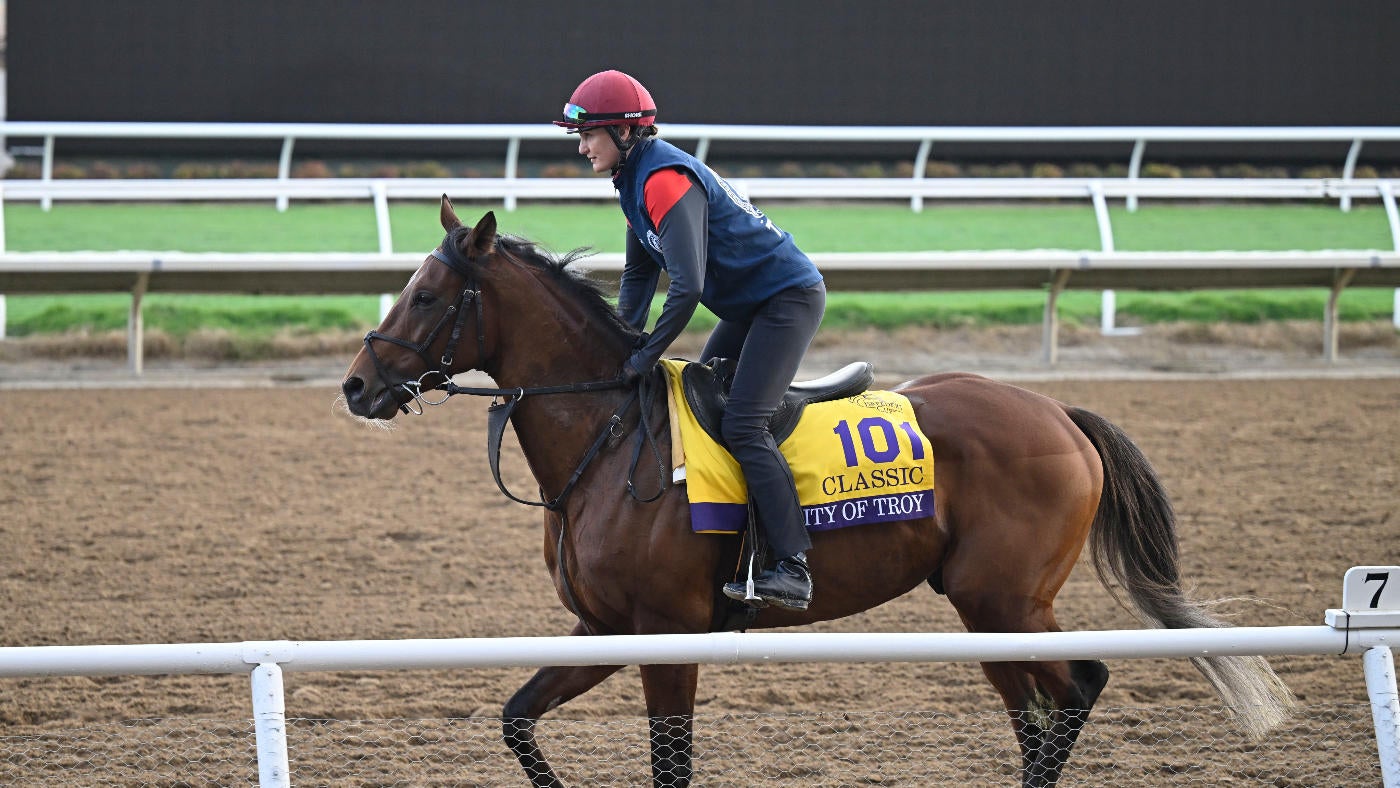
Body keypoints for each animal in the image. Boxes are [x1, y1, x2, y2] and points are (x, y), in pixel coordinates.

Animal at [340, 197, 1295, 787]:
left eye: (425, 293)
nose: (355, 386)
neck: (609, 437)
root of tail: (1058, 411)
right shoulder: (605, 628)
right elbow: (517, 719)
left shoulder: (667, 633)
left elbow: (671, 764)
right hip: (983, 609)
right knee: (1033, 710)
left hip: (1007, 599)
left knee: (1081, 685)